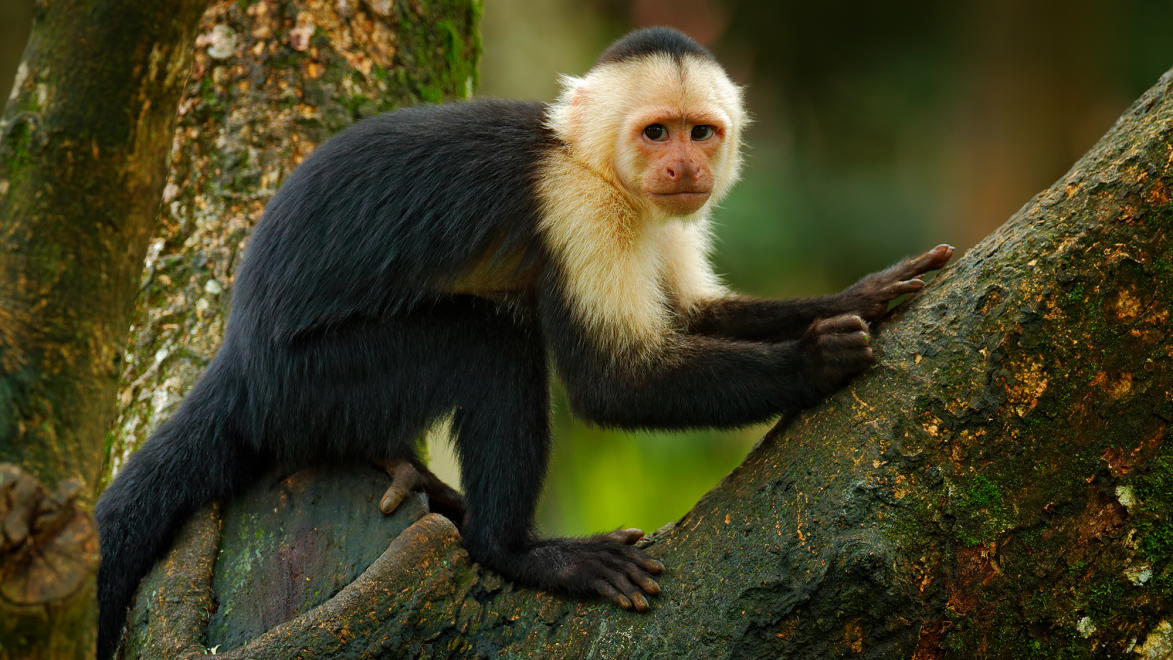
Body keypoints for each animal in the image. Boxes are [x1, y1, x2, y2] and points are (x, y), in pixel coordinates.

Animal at [95, 26, 953, 658]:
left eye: (702, 134)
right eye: (656, 133)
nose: (684, 166)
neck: (586, 159)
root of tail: (237, 359)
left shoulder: (658, 215)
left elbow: (689, 315)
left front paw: (862, 293)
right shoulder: (577, 209)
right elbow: (613, 385)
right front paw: (815, 360)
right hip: (307, 379)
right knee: (491, 347)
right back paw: (511, 549)